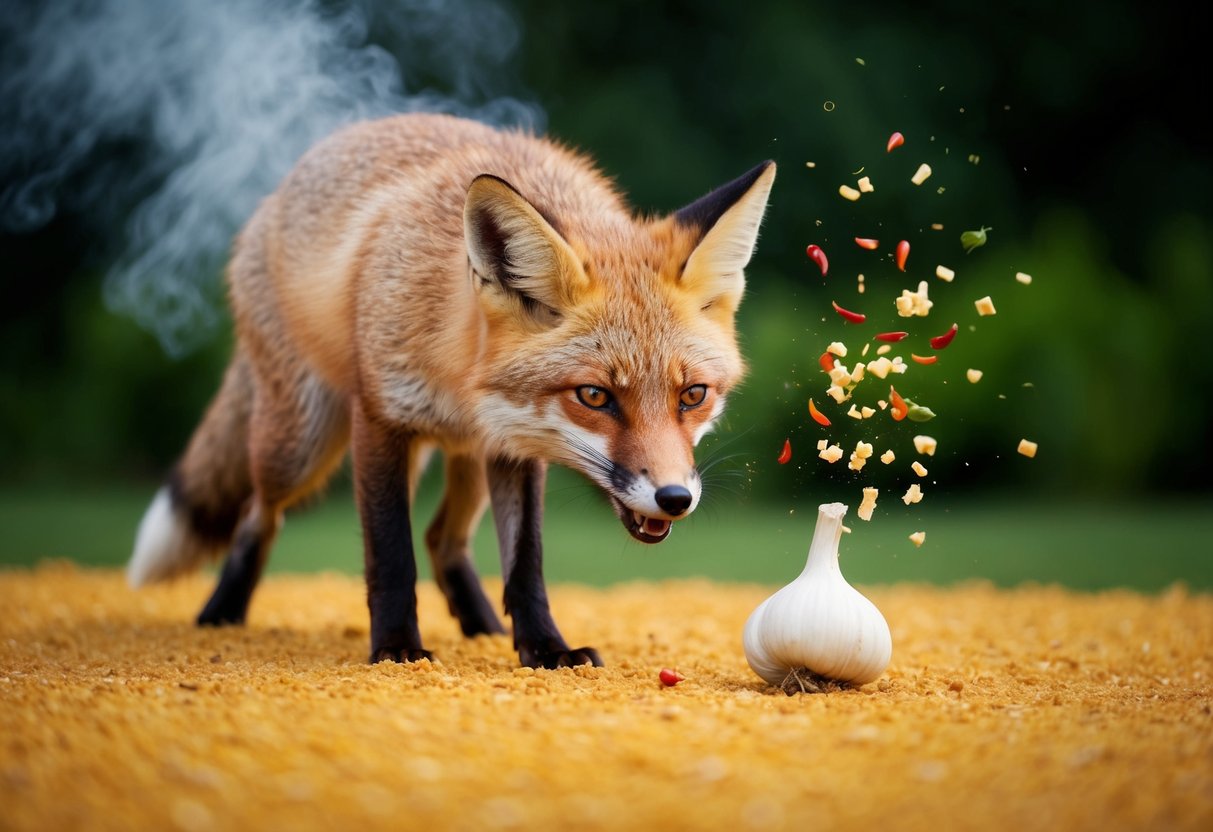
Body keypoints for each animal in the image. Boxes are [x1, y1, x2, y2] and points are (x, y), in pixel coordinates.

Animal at [127, 113, 775, 669]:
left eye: (693, 395)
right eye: (595, 397)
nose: (675, 498)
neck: (460, 375)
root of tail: (280, 190)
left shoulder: (518, 446)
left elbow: (525, 563)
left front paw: (545, 650)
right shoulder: (381, 422)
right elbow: (390, 554)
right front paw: (396, 648)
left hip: (467, 459)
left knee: (444, 538)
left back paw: (482, 624)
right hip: (302, 443)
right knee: (259, 516)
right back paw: (223, 611)